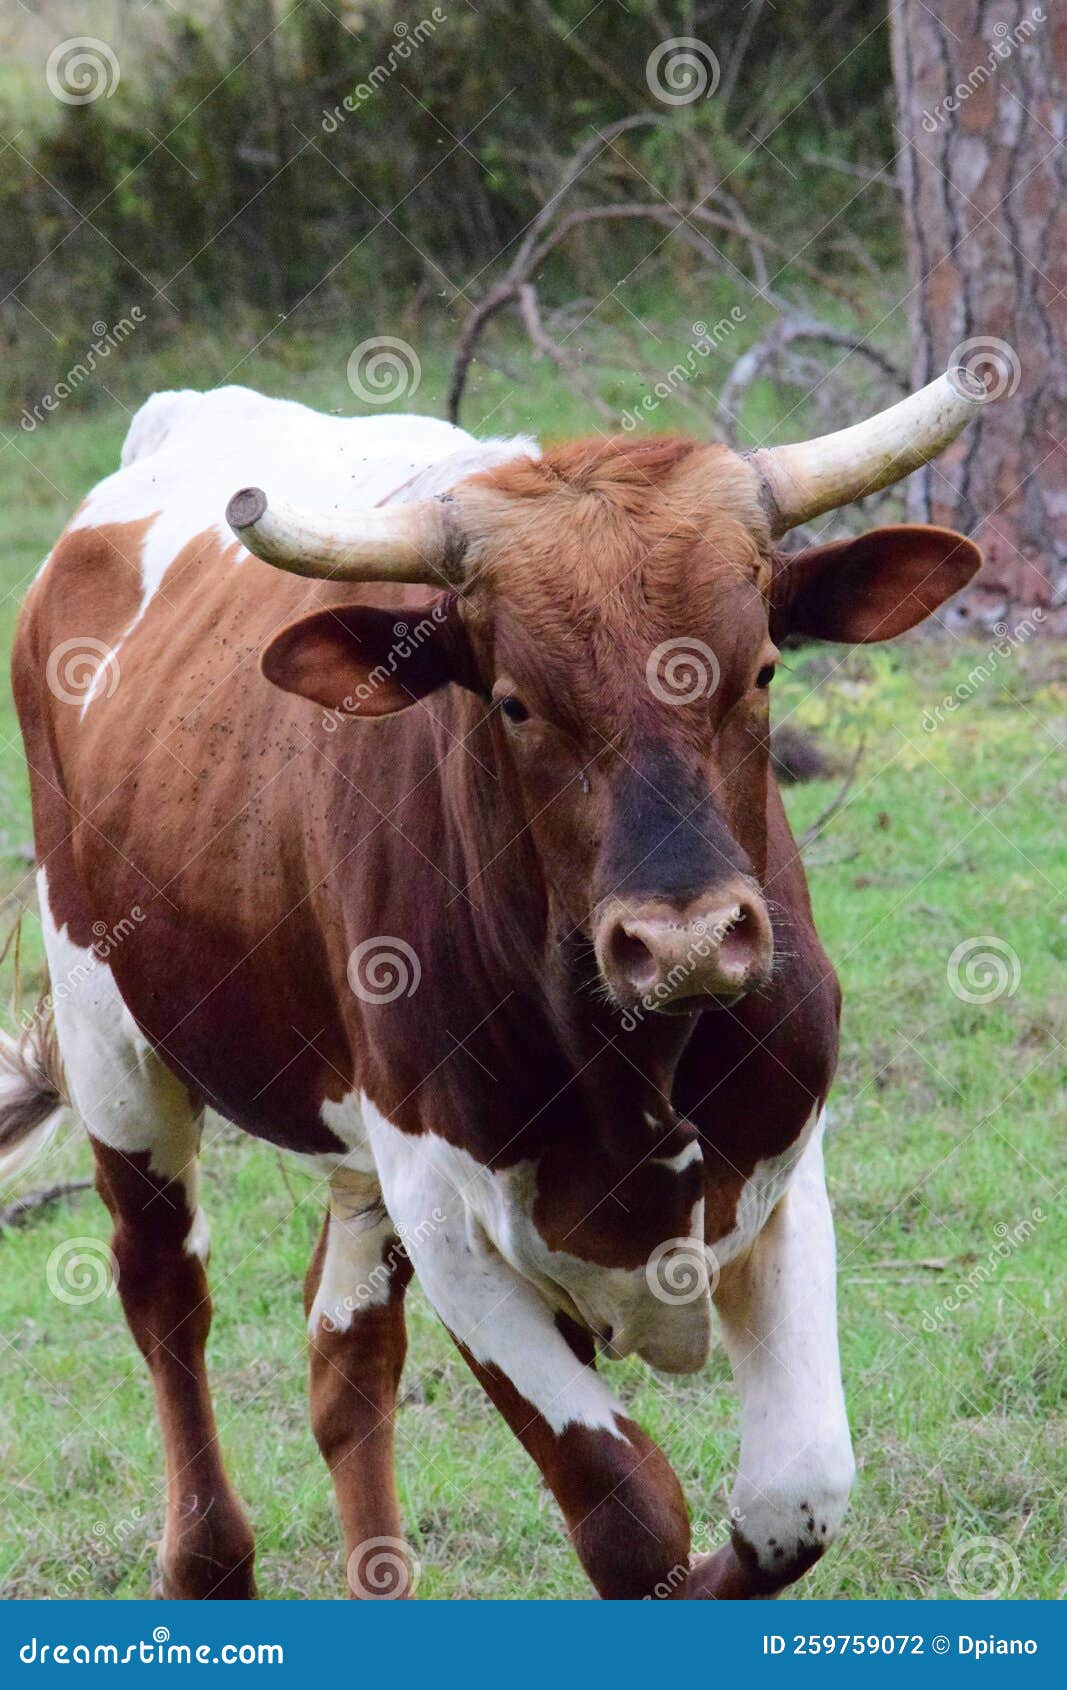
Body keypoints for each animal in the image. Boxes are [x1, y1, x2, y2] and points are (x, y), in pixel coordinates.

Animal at [3, 370, 985, 1600]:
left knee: (347, 1355)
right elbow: (631, 1515)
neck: (635, 1060)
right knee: (164, 1293)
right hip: (114, 1048)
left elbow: (789, 1500)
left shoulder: (782, 1168)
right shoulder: (452, 1216)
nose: (686, 942)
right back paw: (208, 1559)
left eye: (762, 668)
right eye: (514, 703)